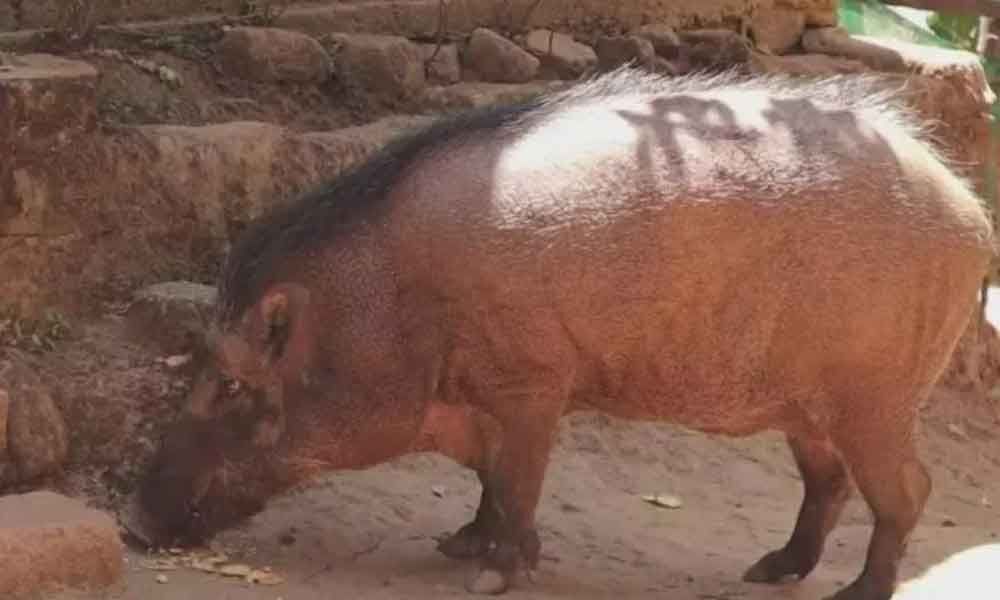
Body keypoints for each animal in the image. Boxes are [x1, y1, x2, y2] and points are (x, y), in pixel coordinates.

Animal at [130, 67, 994, 600]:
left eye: (234, 381)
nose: (134, 526)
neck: (398, 300)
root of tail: (972, 217)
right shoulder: (485, 402)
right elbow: (488, 481)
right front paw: (457, 547)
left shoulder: (532, 385)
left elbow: (516, 484)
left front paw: (488, 577)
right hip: (811, 406)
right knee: (829, 483)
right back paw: (768, 570)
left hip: (875, 396)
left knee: (908, 489)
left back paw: (858, 590)